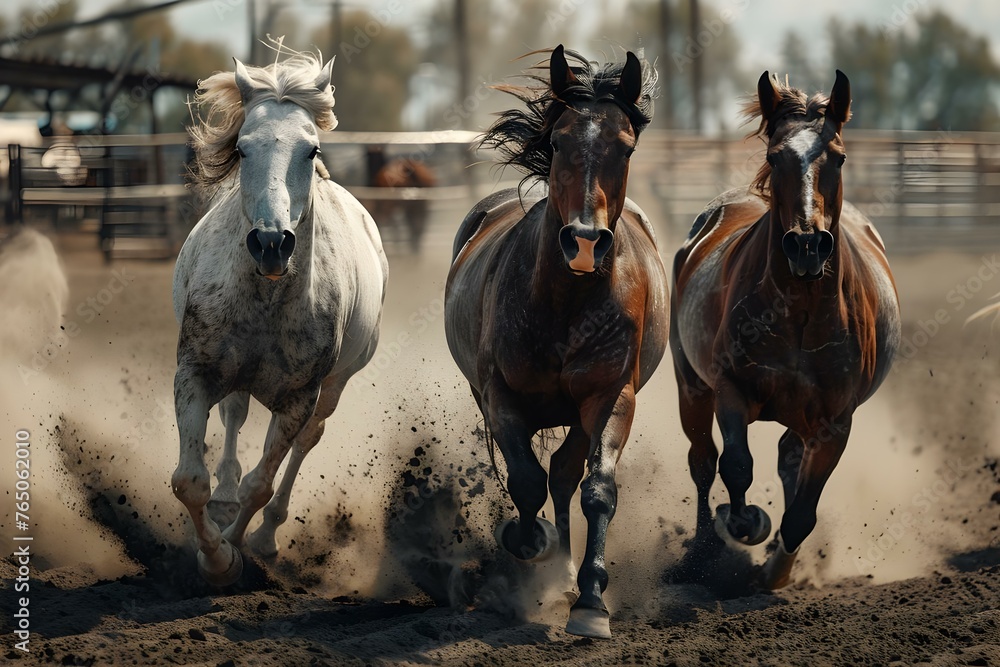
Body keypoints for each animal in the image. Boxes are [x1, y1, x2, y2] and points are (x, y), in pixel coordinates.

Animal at [172, 52, 387, 586]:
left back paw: (267, 536)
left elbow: (262, 484)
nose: (271, 243)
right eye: (243, 148)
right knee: (234, 415)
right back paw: (225, 495)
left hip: (332, 388)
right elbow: (189, 480)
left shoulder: (297, 401)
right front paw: (213, 555)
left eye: (311, 150)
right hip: (235, 379)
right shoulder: (194, 373)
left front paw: (231, 554)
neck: (267, 301)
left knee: (305, 444)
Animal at [444, 46, 668, 638]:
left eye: (625, 145)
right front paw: (530, 544)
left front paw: (590, 603)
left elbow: (597, 490)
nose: (585, 242)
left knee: (567, 475)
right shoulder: (500, 397)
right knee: (544, 475)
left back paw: (569, 574)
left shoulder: (611, 398)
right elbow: (525, 481)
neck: (566, 304)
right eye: (561, 139)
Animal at [669, 71, 901, 589]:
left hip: (801, 418)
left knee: (787, 459)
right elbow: (736, 467)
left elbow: (802, 513)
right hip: (691, 386)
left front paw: (776, 570)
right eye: (775, 156)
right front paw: (745, 524)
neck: (799, 311)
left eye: (838, 155)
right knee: (701, 462)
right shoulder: (731, 390)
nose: (807, 245)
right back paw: (698, 556)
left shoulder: (835, 423)